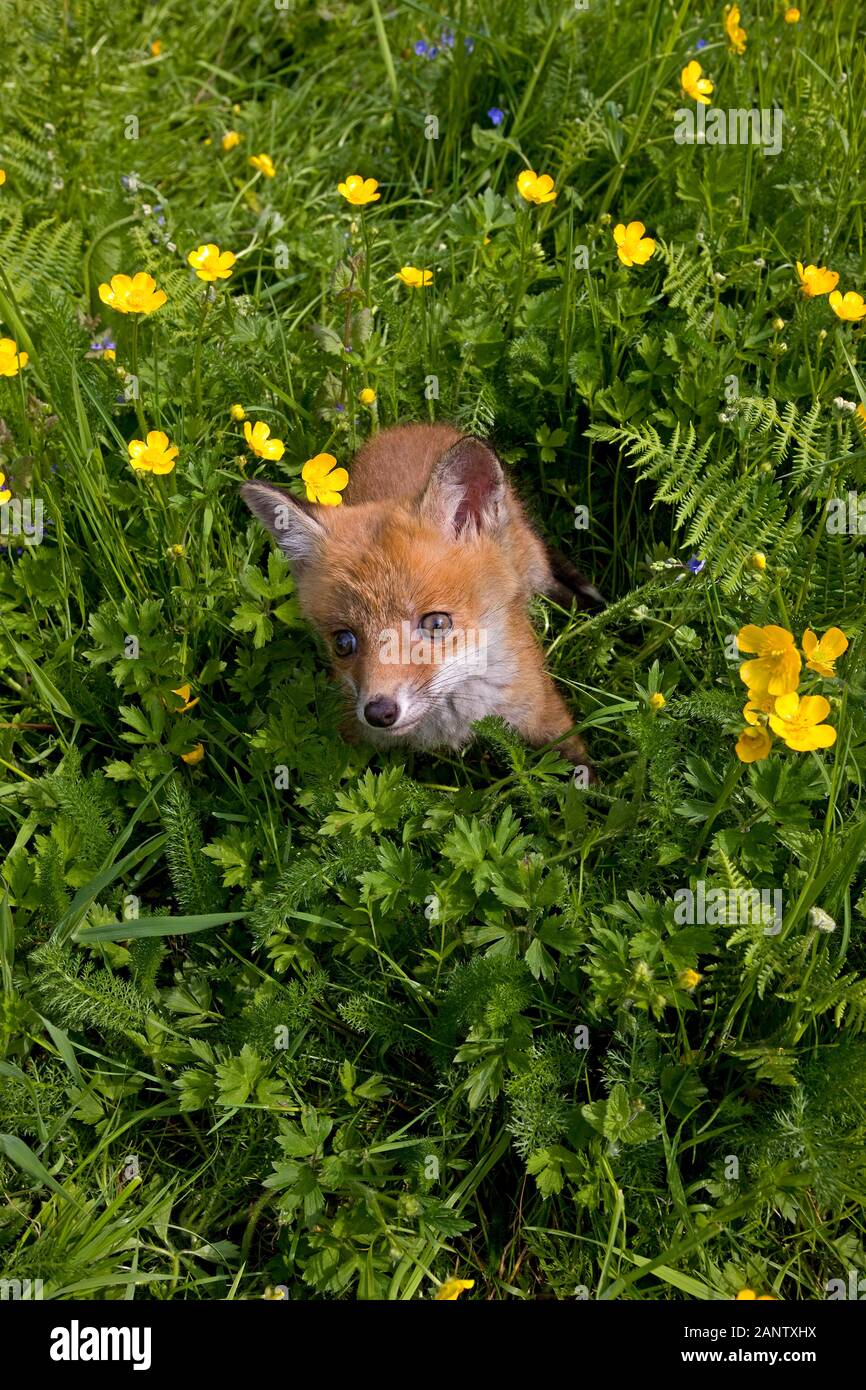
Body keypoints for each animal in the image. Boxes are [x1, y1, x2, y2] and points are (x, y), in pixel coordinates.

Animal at [241, 423, 602, 775]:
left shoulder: (541, 711)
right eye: (343, 642)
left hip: (535, 567)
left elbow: (578, 773)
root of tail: (411, 426)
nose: (379, 712)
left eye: (437, 624)